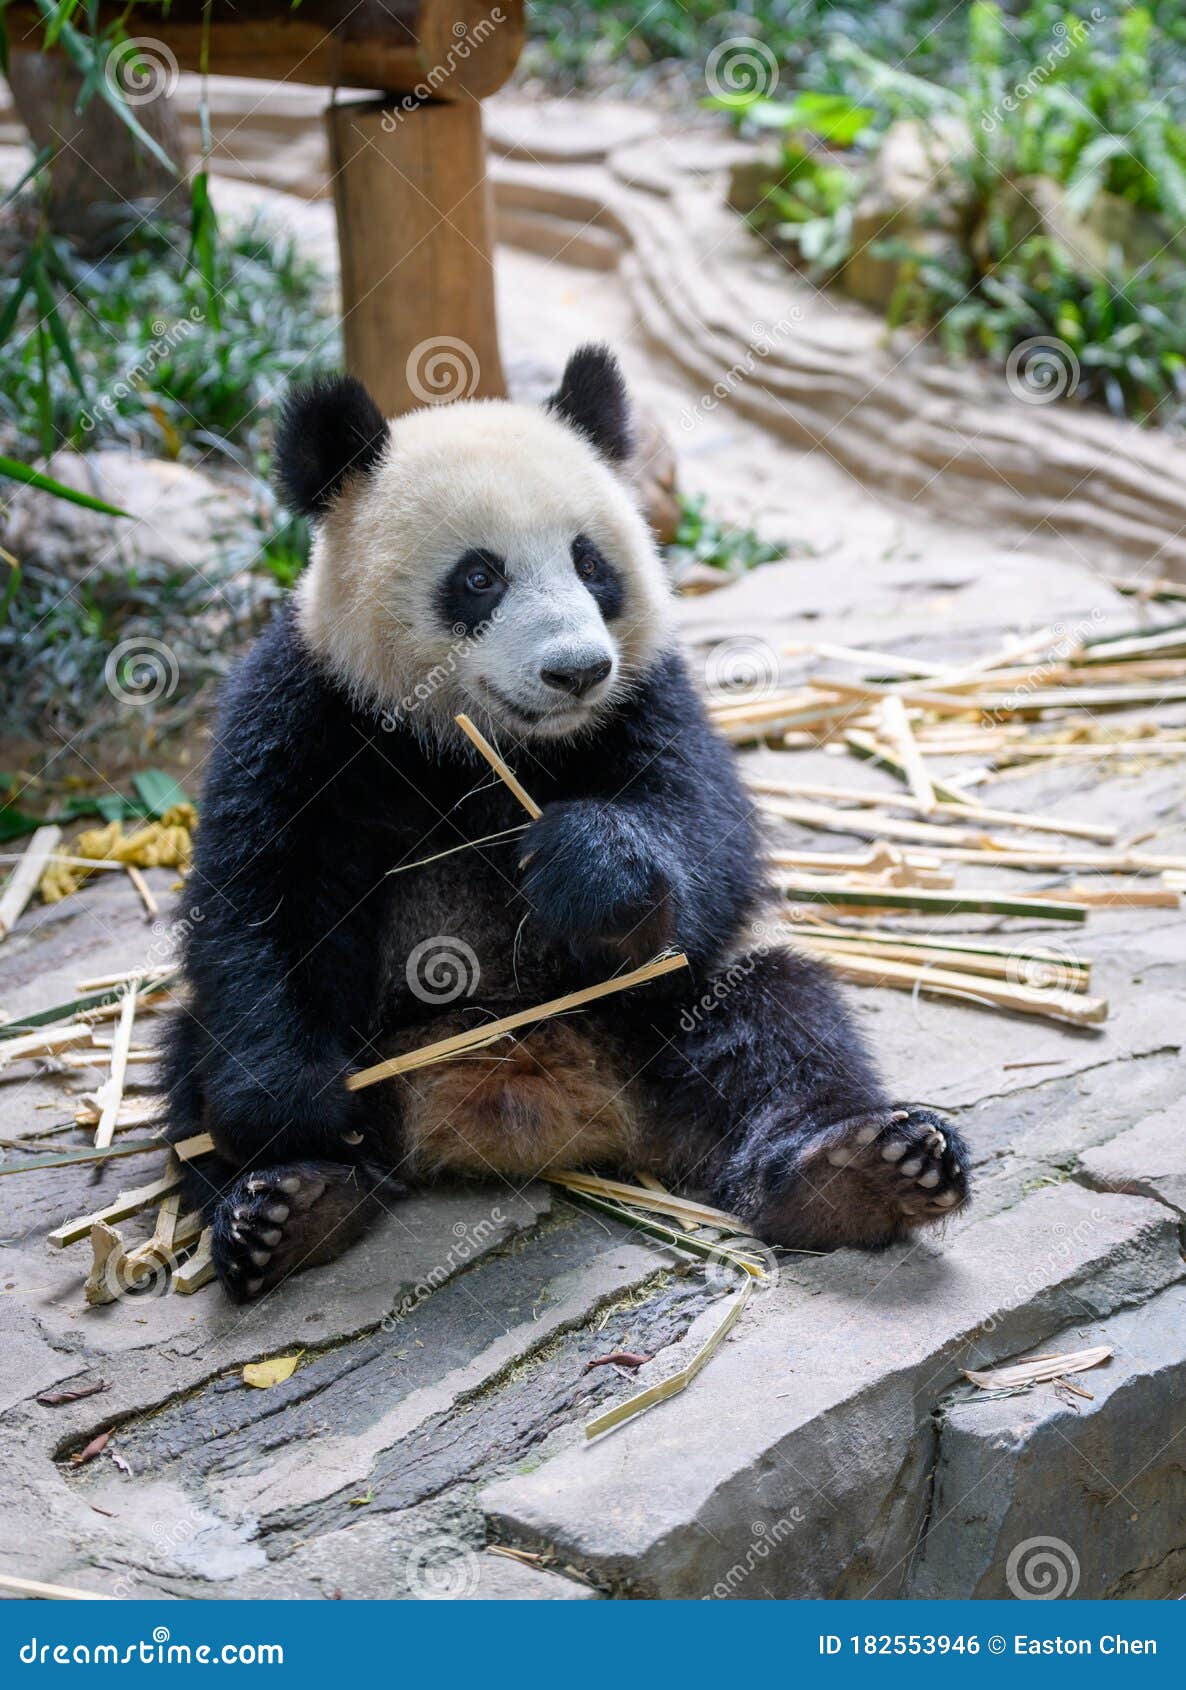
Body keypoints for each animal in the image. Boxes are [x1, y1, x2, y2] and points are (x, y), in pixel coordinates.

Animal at [164, 345, 969, 1301]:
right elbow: (256, 892)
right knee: (192, 1067)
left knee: (776, 1019)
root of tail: (536, 1108)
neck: (479, 743)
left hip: (654, 1025)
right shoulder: (306, 706)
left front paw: (590, 866)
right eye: (480, 577)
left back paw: (860, 1173)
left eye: (591, 564)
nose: (577, 671)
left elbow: (705, 839)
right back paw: (291, 1205)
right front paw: (292, 1113)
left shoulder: (650, 694)